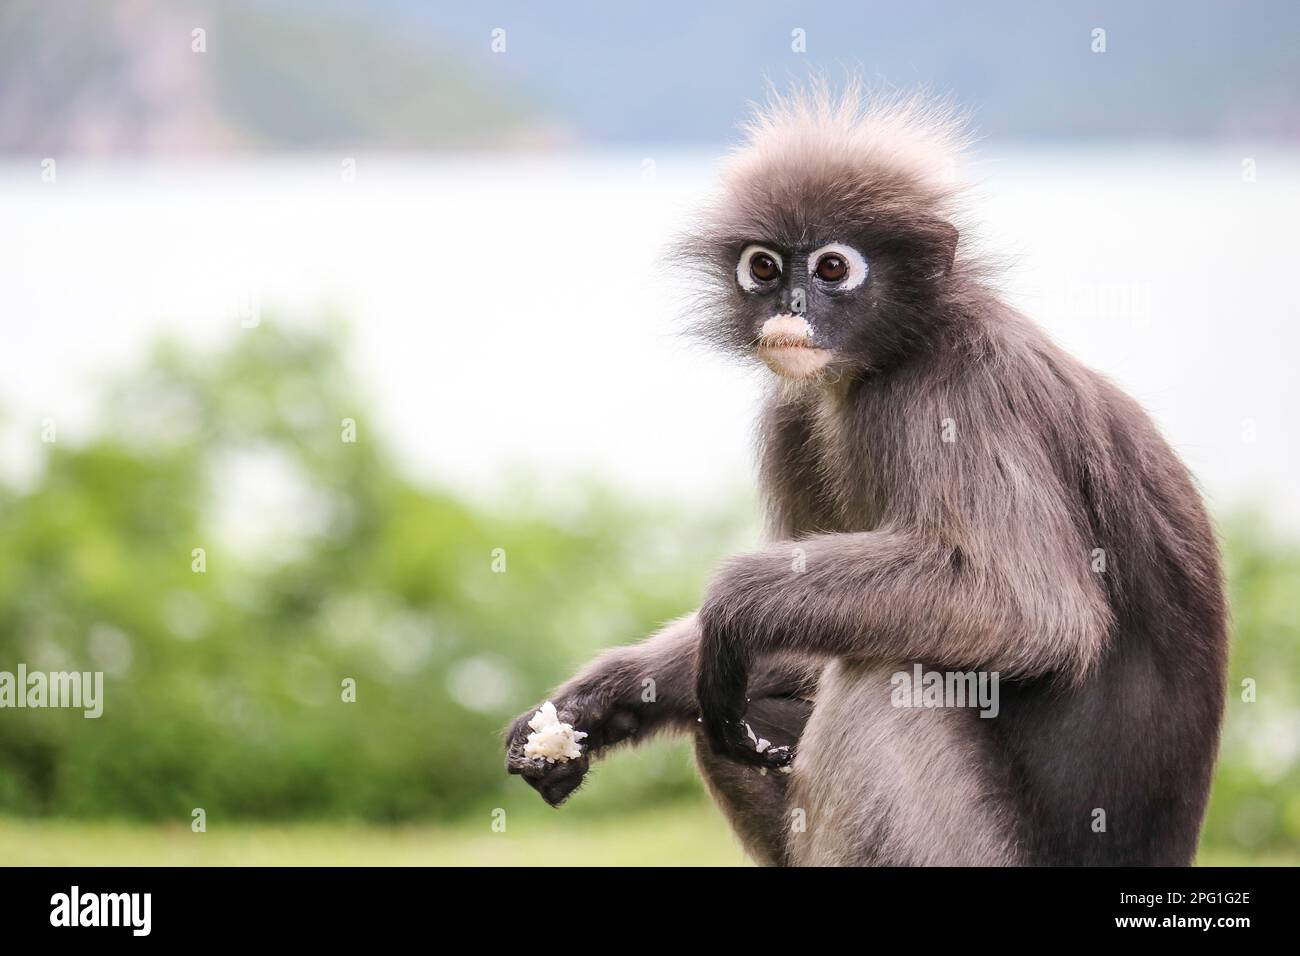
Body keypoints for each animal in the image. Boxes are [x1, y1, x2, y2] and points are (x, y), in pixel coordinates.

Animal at [505, 84, 1227, 867]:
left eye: (831, 269)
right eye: (764, 267)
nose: (789, 309)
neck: (896, 353)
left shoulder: (961, 396)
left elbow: (1031, 609)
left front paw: (728, 607)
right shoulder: (793, 415)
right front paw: (600, 700)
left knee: (885, 677)